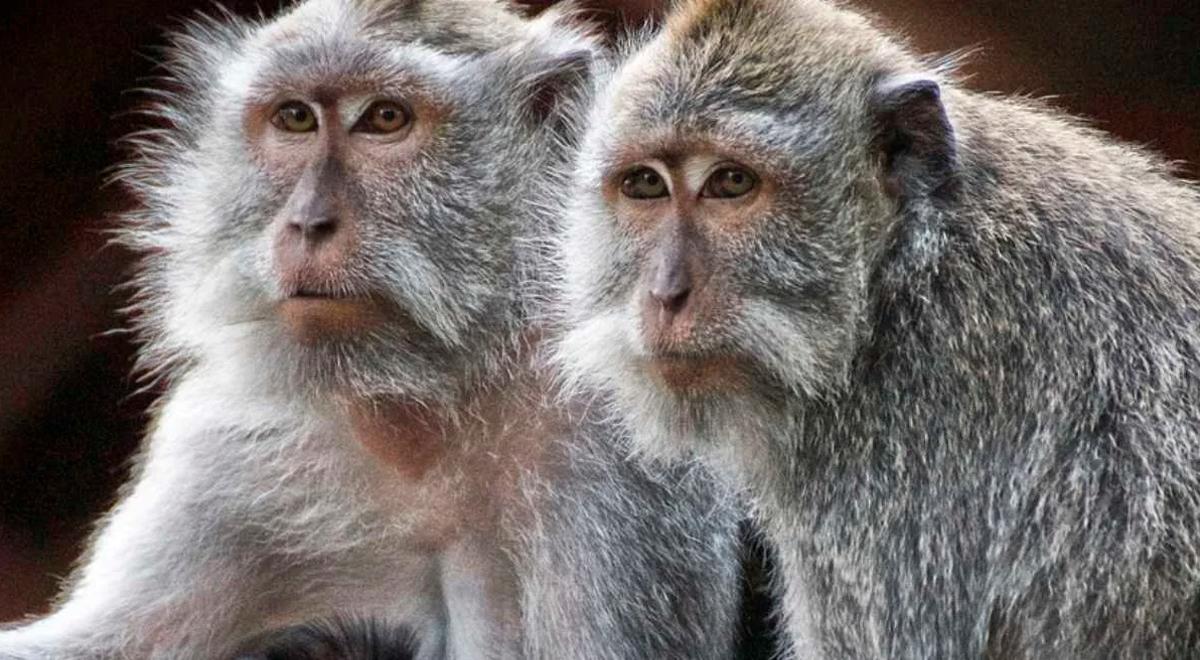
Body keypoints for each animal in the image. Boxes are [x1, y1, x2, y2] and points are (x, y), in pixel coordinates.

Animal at [0, 1, 747, 657]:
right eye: (295, 117)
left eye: (385, 118)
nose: (307, 222)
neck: (421, 403)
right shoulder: (225, 438)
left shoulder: (620, 459)